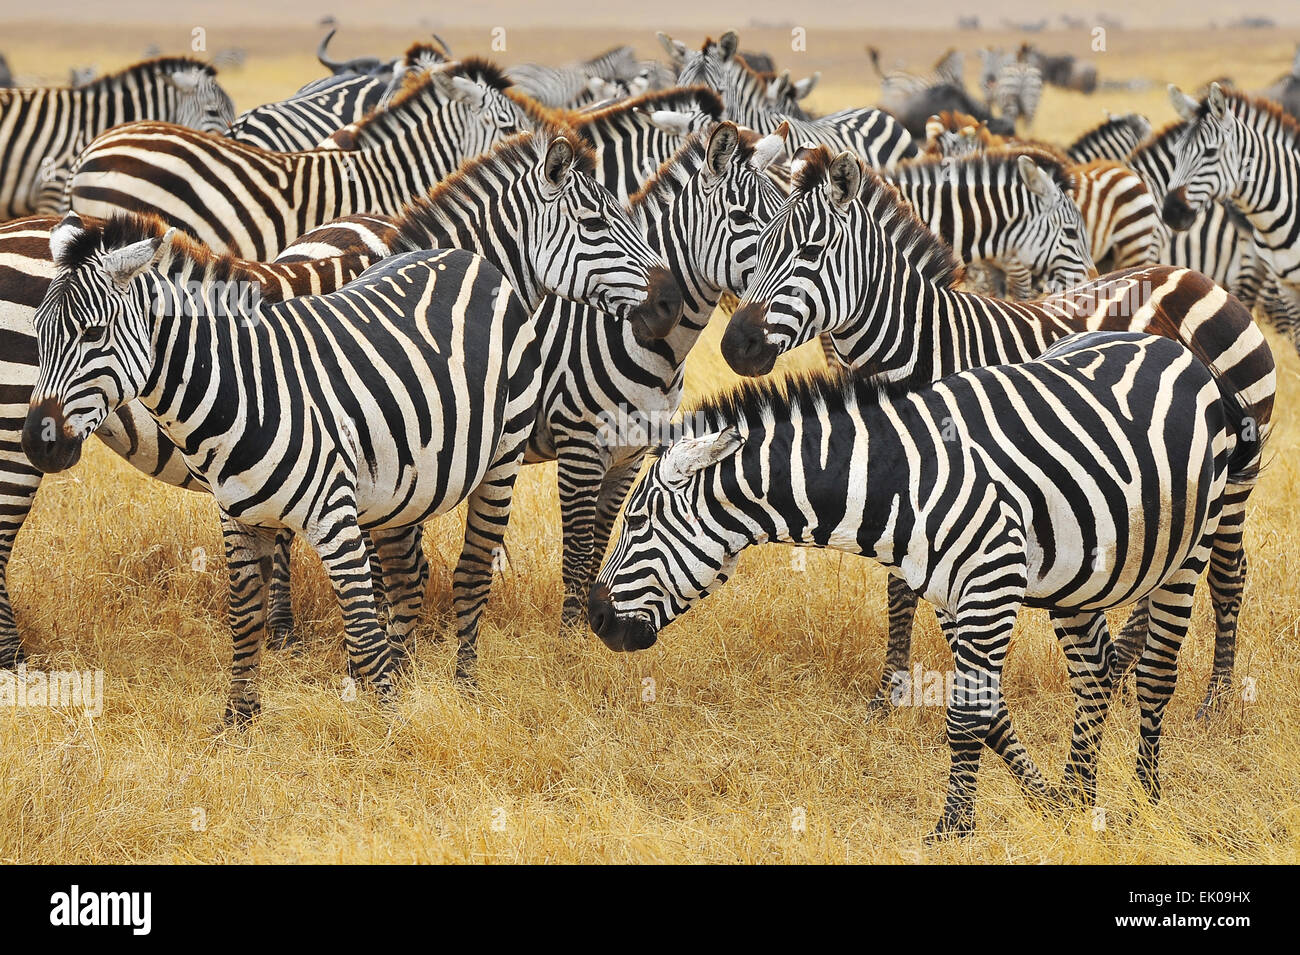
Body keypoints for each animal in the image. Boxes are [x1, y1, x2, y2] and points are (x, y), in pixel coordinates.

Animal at [23, 217, 541, 712]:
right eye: (37, 334)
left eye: (93, 333)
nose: (35, 443)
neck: (240, 388)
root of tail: (465, 255)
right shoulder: (238, 518)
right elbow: (245, 620)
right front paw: (238, 723)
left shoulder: (334, 516)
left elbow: (362, 630)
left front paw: (391, 725)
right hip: (403, 488)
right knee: (405, 578)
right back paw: (411, 675)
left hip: (504, 453)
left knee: (472, 571)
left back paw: (466, 690)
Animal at [590, 331, 1259, 836]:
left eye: (637, 521)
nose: (597, 618)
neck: (899, 478)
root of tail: (1177, 349)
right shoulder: (948, 597)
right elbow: (990, 715)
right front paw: (1047, 802)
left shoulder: (991, 581)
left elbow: (967, 715)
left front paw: (952, 830)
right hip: (1081, 573)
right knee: (1093, 672)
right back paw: (1079, 791)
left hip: (1191, 545)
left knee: (1155, 675)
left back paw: (1144, 799)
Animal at [720, 147, 1275, 721]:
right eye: (758, 249)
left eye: (811, 252)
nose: (736, 346)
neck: (924, 345)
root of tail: (1199, 278)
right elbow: (899, 587)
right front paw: (888, 696)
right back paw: (1123, 671)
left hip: (1235, 474)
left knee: (1227, 574)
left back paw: (1215, 700)